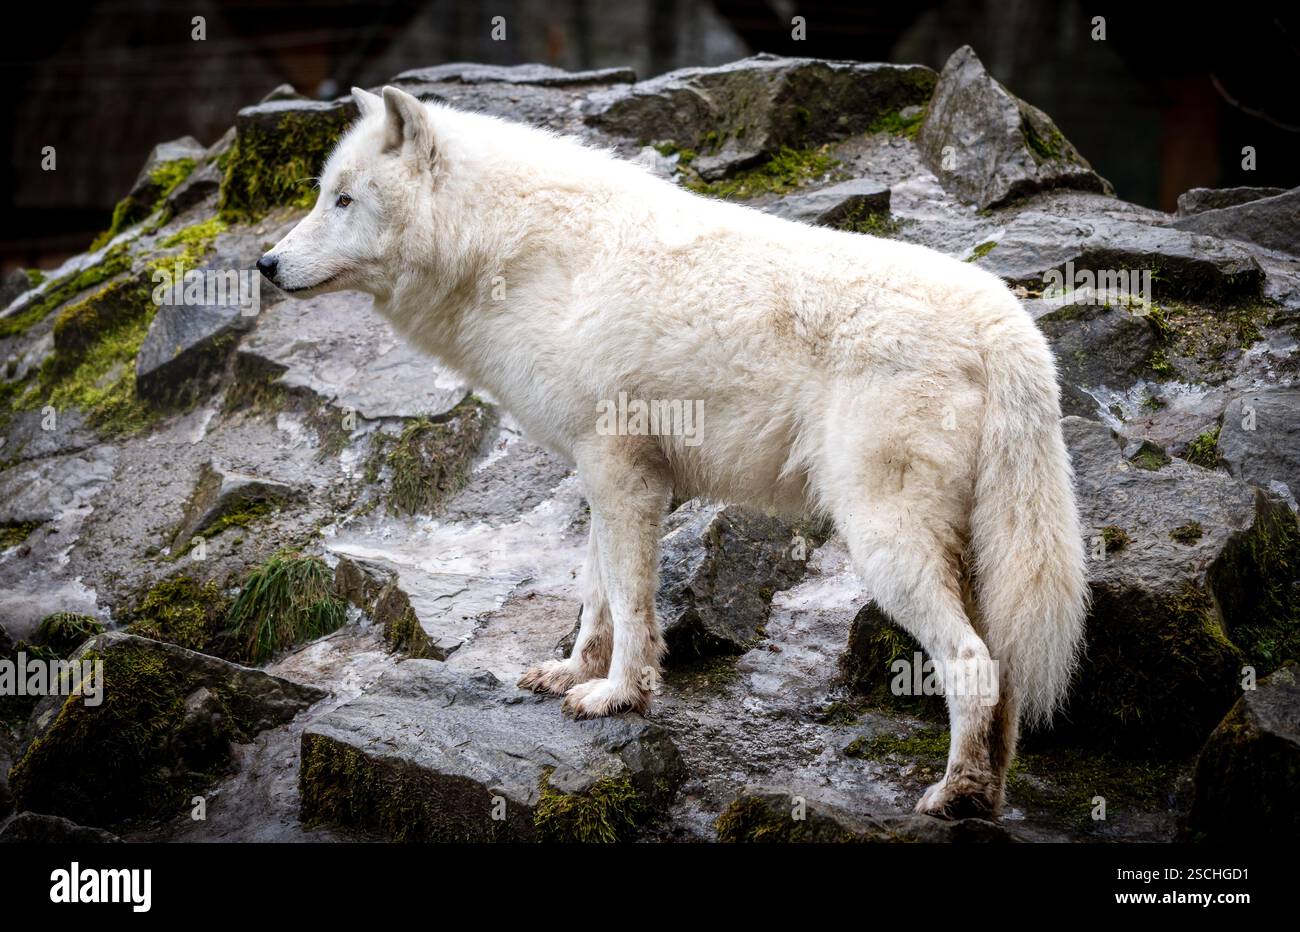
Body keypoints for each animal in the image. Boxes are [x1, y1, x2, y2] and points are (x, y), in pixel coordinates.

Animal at [258, 85, 1089, 819]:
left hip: (886, 544)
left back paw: (954, 799)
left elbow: (629, 602)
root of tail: (1008, 324)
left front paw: (618, 695)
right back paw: (984, 793)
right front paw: (573, 673)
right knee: (1006, 679)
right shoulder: (600, 474)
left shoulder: (623, 473)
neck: (512, 254)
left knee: (975, 667)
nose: (264, 265)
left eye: (342, 200)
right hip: (970, 554)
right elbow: (594, 594)